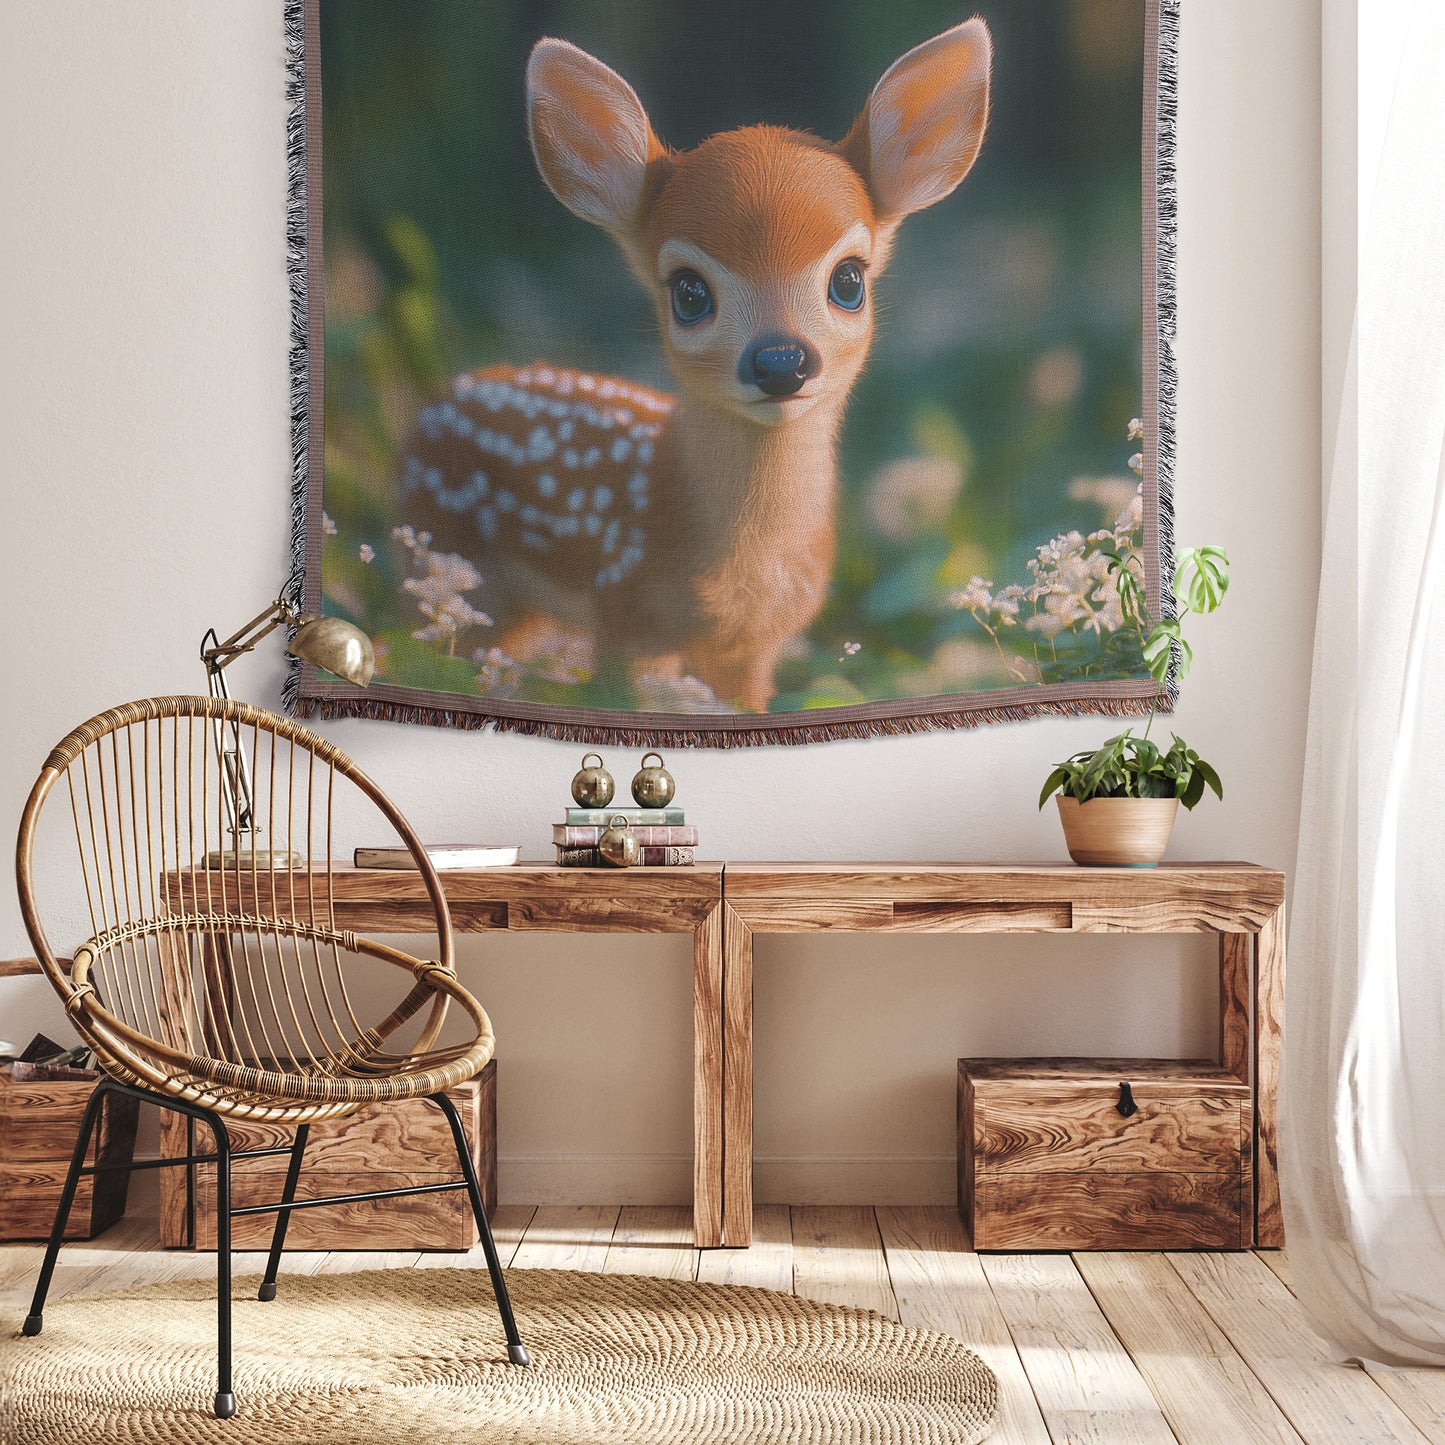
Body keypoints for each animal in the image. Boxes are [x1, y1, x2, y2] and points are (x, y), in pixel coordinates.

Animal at [398, 19, 992, 712]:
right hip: (446, 556)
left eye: (848, 280)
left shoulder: (753, 647)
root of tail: (435, 403)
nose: (781, 362)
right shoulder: (623, 611)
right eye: (689, 293)